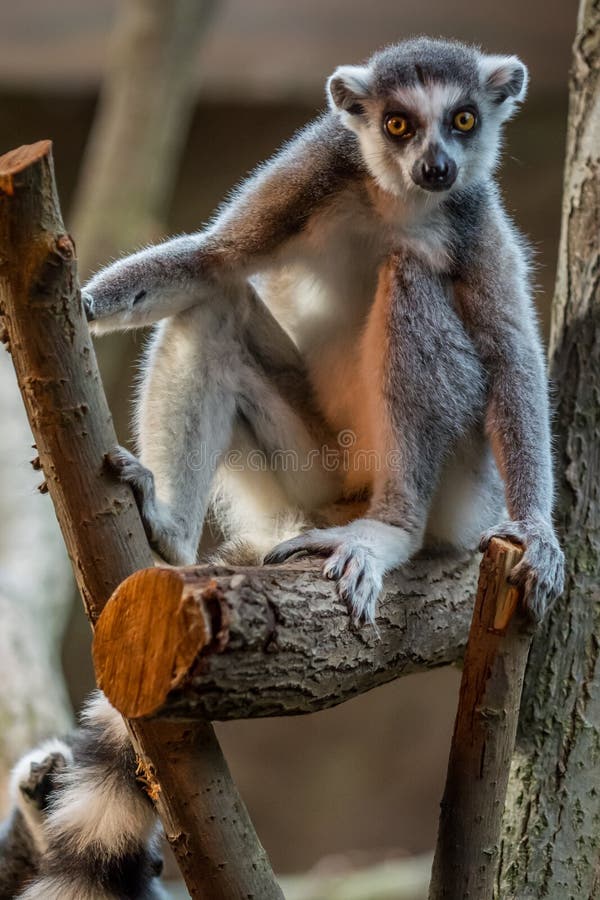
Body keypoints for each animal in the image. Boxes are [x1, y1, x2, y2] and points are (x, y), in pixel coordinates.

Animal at [82, 36, 565, 625]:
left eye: (464, 119)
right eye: (397, 124)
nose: (436, 167)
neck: (397, 200)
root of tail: (352, 498)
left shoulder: (474, 215)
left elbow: (508, 355)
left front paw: (536, 532)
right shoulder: (318, 164)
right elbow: (214, 262)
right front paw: (79, 304)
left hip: (465, 490)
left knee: (411, 278)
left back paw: (392, 529)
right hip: (313, 472)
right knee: (215, 310)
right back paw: (170, 531)